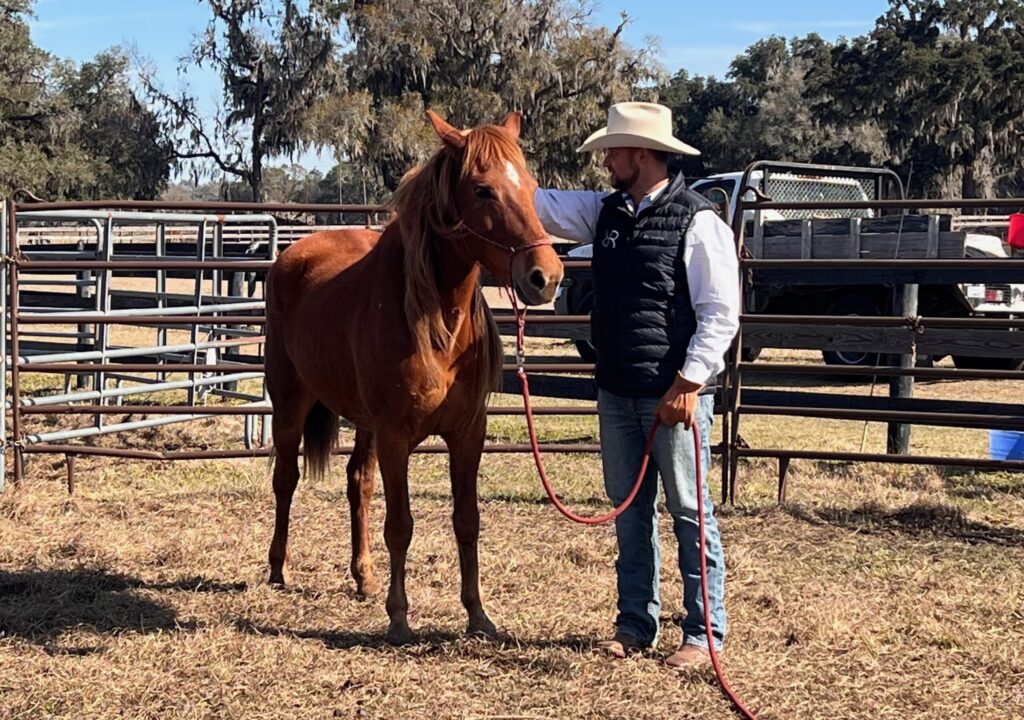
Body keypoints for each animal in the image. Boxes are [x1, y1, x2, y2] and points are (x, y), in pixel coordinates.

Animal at [263, 110, 564, 644]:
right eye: (483, 190)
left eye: (530, 187)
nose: (544, 277)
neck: (436, 320)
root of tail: (291, 256)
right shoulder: (396, 436)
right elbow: (400, 525)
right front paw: (400, 616)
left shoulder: (467, 434)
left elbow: (467, 520)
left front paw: (477, 614)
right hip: (290, 403)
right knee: (286, 479)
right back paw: (279, 568)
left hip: (361, 422)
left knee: (357, 483)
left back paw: (363, 577)